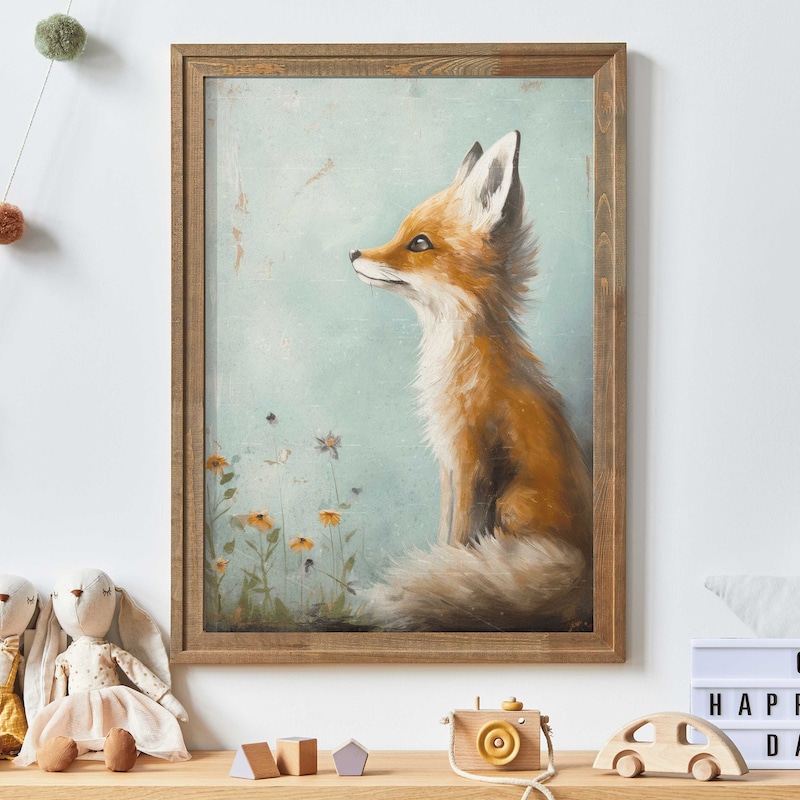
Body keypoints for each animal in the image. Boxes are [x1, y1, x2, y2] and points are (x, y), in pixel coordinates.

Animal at [349, 131, 592, 632]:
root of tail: (584, 575)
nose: (353, 253)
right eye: (402, 234)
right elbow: (446, 536)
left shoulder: (470, 458)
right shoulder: (447, 465)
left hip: (514, 502)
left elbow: (458, 541)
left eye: (419, 243)